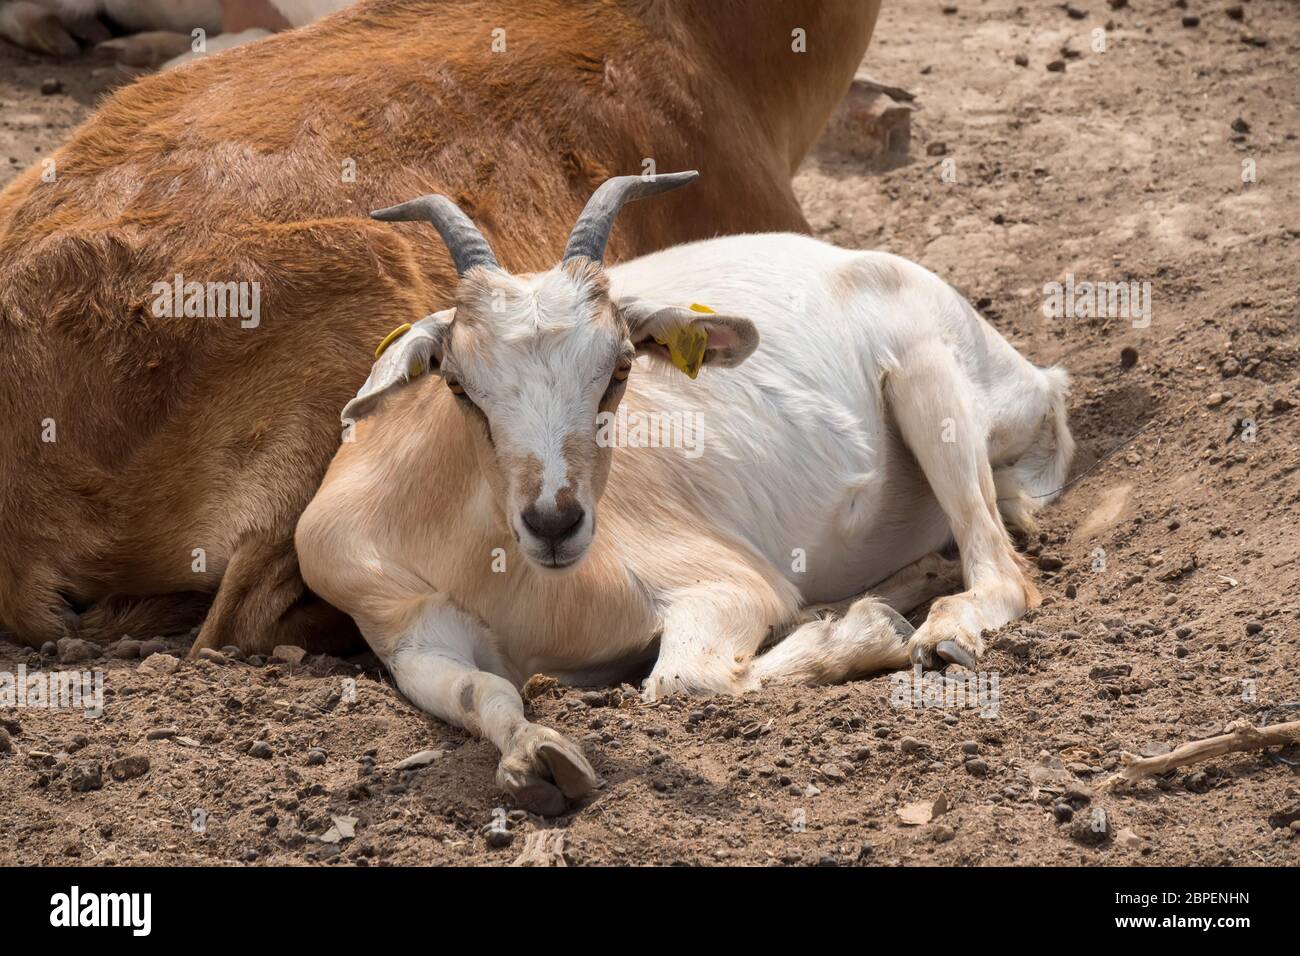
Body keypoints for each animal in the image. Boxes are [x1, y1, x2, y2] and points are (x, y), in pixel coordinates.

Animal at [295, 172, 1075, 815]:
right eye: (457, 382)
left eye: (619, 367)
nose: (554, 521)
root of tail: (1036, 376)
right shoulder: (408, 635)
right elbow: (480, 688)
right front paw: (540, 761)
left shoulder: (727, 584)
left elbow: (683, 679)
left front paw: (870, 632)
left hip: (927, 381)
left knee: (1000, 569)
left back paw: (934, 628)